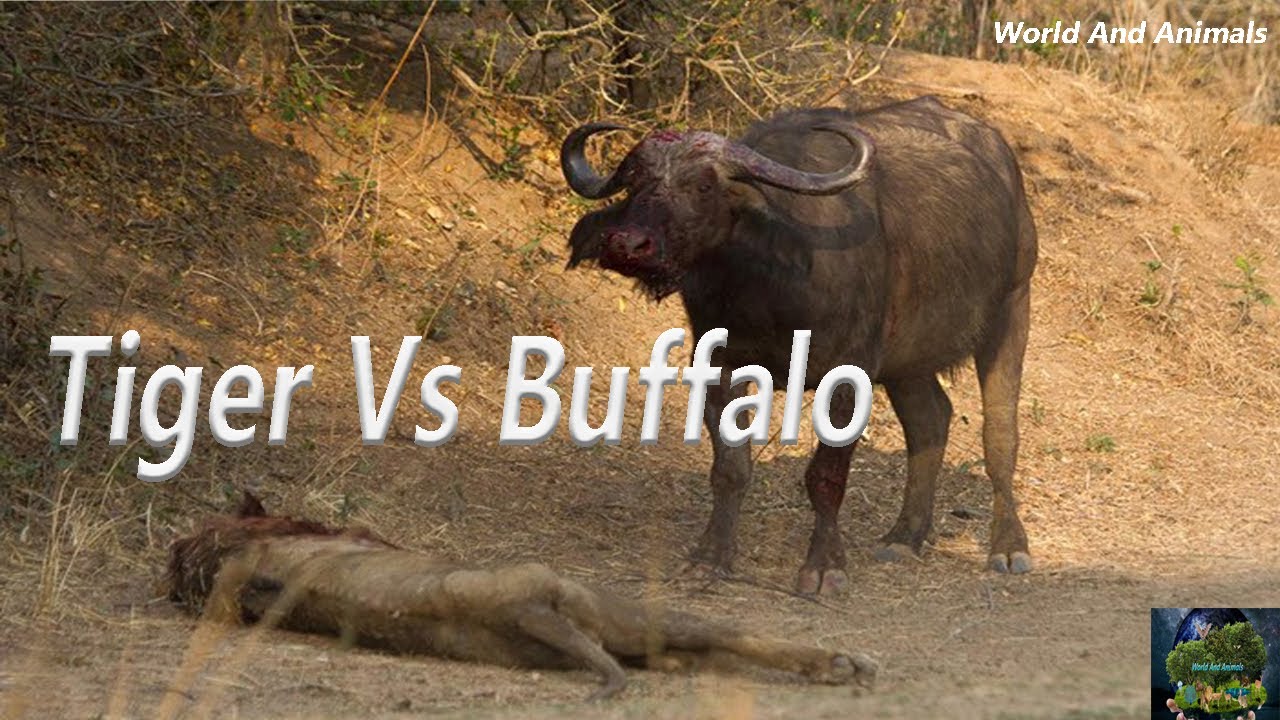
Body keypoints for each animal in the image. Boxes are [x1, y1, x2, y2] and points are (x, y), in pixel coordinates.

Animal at [560, 97, 1038, 595]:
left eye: (703, 185)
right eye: (635, 180)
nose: (627, 244)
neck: (767, 284)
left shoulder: (849, 372)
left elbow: (826, 475)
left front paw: (824, 566)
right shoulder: (719, 367)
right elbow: (730, 468)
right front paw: (711, 556)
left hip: (1011, 309)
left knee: (1000, 435)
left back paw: (1008, 546)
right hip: (909, 358)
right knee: (931, 421)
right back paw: (905, 535)